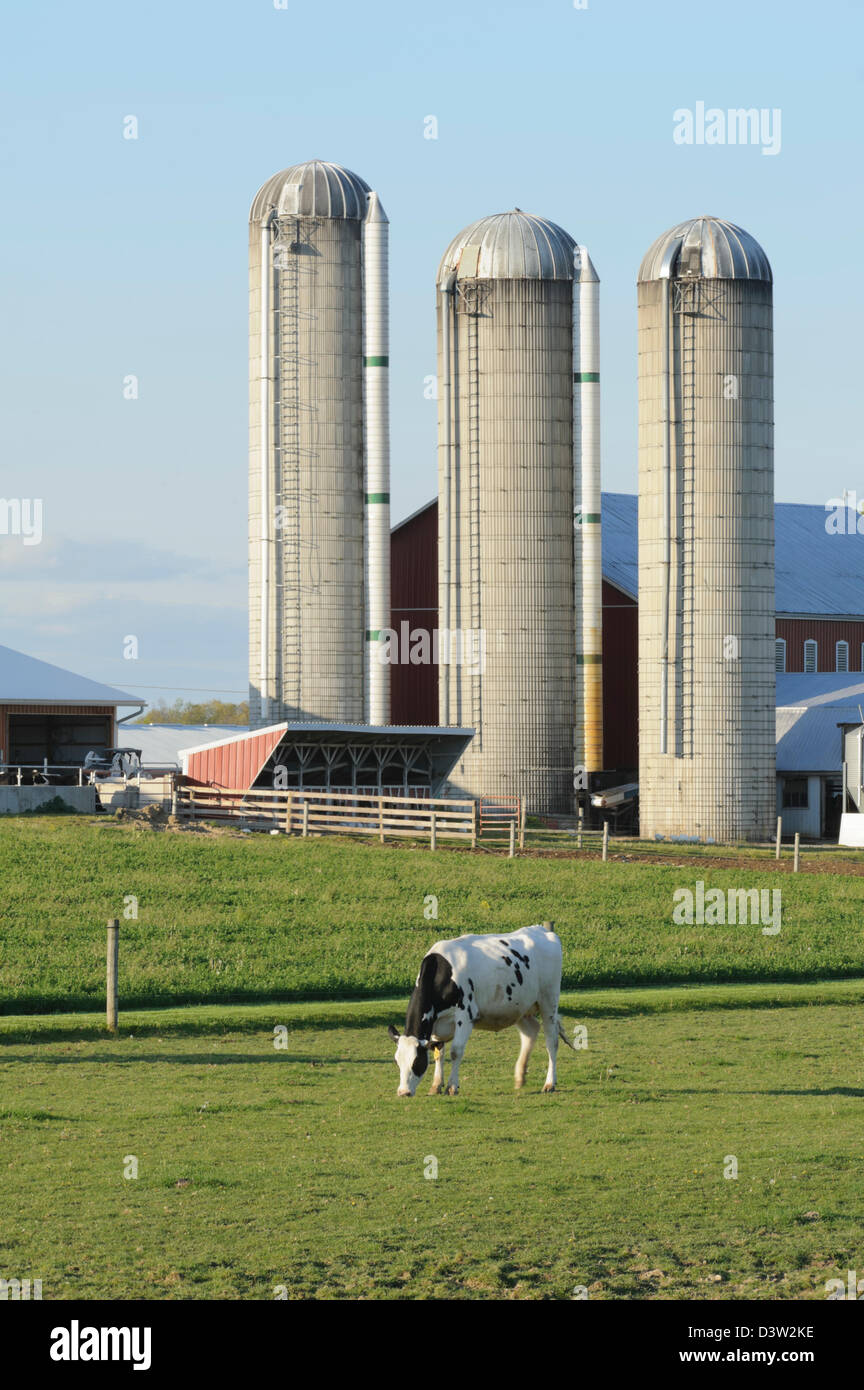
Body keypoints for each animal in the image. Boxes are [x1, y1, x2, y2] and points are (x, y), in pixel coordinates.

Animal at [388, 924, 575, 1097]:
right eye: (397, 1061)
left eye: (416, 1062)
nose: (403, 1092)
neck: (443, 973)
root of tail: (543, 930)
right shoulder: (436, 1022)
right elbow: (438, 1052)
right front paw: (436, 1085)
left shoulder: (465, 1015)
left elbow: (455, 1051)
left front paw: (452, 1086)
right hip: (519, 1006)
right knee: (530, 1032)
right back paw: (520, 1076)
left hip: (548, 1001)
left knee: (551, 1042)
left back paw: (549, 1083)